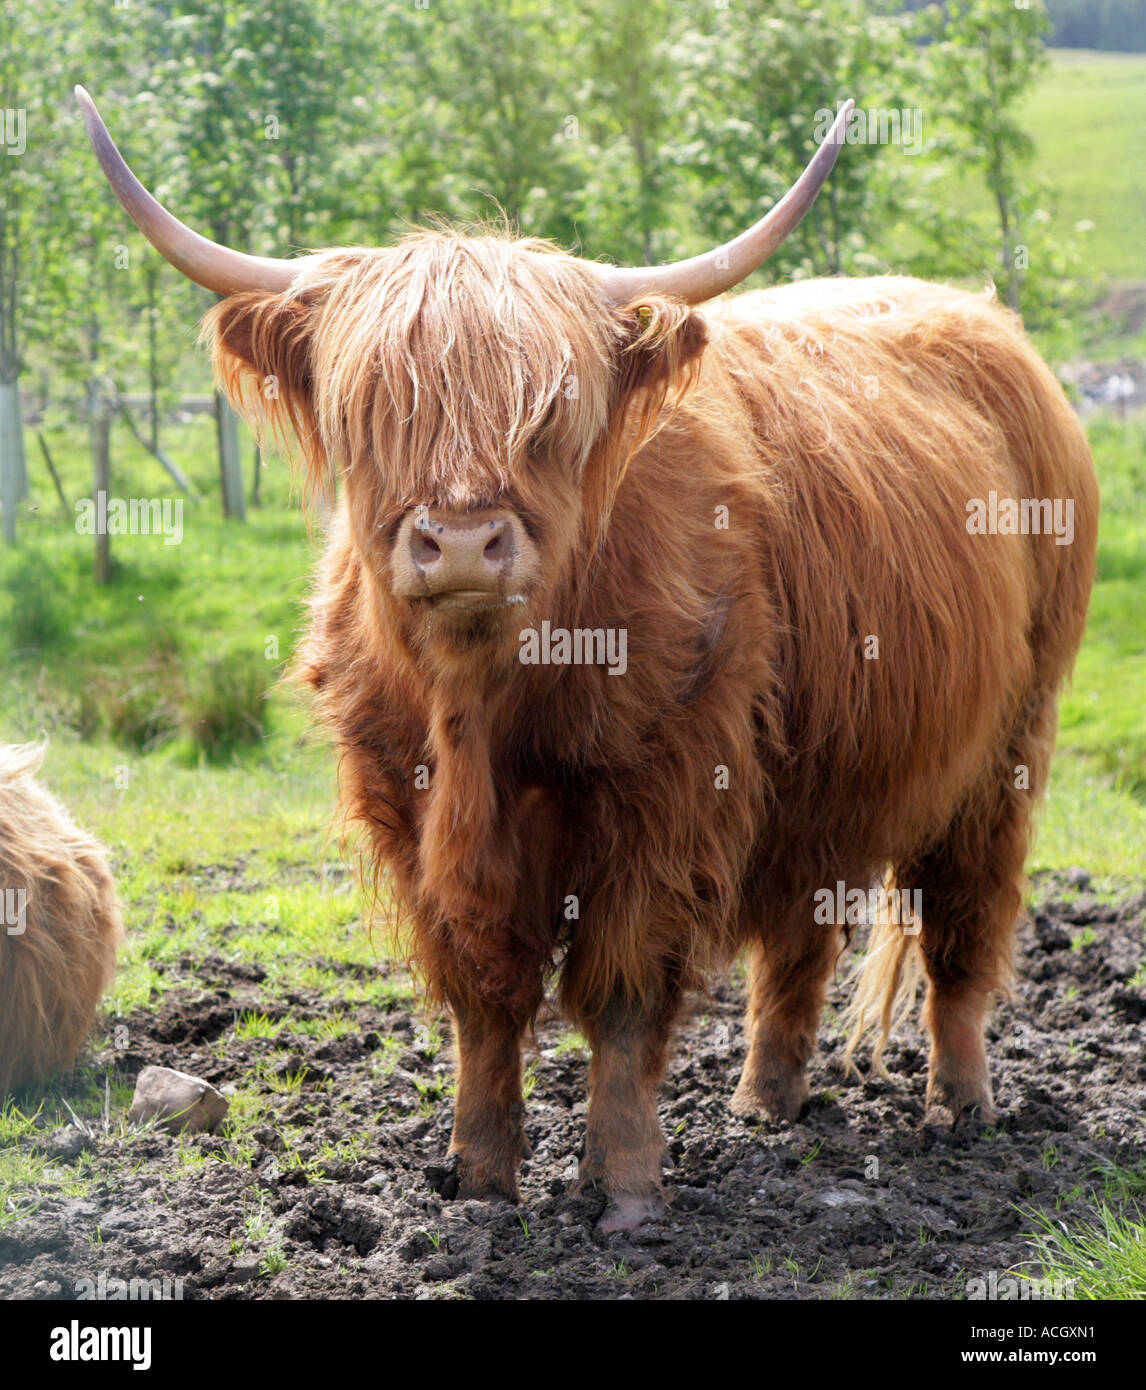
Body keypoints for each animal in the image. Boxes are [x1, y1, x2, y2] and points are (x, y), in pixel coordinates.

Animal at [78, 88, 1098, 1230]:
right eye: (371, 412)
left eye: (552, 418)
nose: (462, 541)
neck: (484, 708)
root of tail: (981, 317)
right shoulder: (405, 803)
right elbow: (483, 993)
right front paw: (478, 1176)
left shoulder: (669, 788)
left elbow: (621, 993)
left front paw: (625, 1185)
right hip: (821, 770)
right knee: (801, 931)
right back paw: (765, 1102)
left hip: (1011, 740)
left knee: (964, 925)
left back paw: (959, 1108)